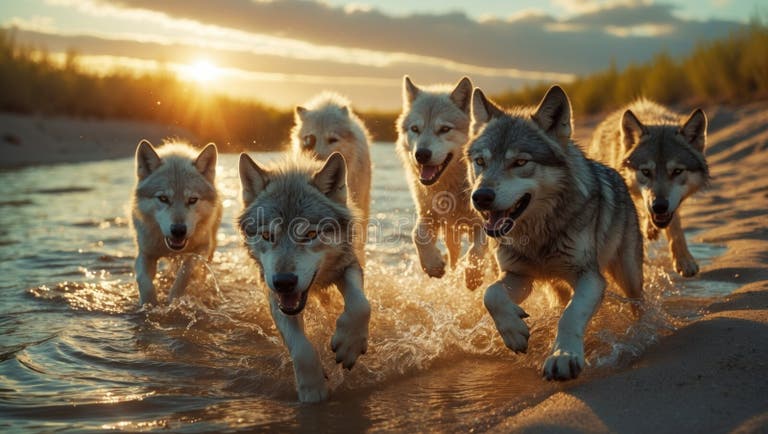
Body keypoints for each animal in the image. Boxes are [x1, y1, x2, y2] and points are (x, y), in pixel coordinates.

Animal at [131, 140, 222, 305]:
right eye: (163, 198)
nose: (178, 230)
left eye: (192, 200)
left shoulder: (202, 248)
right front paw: (149, 304)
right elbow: (143, 281)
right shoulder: (145, 252)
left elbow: (185, 272)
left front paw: (175, 299)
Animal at [238, 152, 371, 403]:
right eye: (267, 236)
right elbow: (301, 348)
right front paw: (312, 390)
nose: (284, 282)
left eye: (309, 234)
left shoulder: (348, 264)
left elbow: (361, 305)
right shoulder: (273, 295)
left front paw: (349, 344)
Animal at [396, 76, 487, 290]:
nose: (421, 154)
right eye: (415, 129)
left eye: (444, 129)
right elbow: (417, 235)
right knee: (453, 256)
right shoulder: (428, 214)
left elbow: (477, 249)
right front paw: (433, 265)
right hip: (451, 234)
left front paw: (473, 276)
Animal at [467, 85, 644, 381]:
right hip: (556, 285)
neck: (539, 235)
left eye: (520, 162)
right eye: (481, 161)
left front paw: (563, 357)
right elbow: (490, 295)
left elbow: (571, 316)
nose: (480, 197)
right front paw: (514, 333)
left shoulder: (590, 276)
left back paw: (644, 328)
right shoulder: (519, 275)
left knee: (638, 303)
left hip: (628, 274)